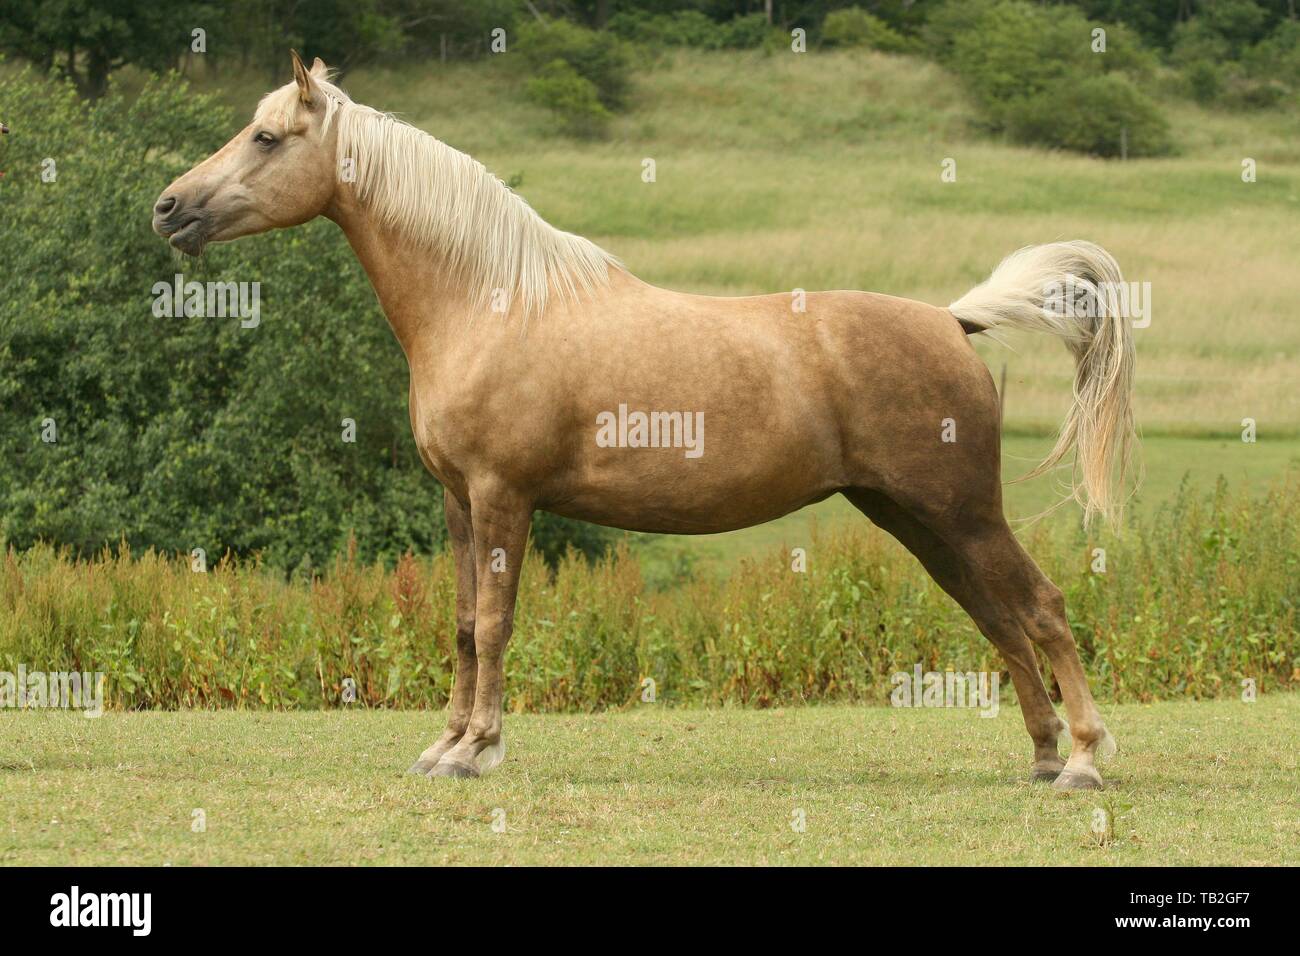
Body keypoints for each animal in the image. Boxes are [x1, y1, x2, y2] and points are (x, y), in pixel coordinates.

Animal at [153, 53, 1134, 790]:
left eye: (267, 136)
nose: (169, 207)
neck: (488, 300)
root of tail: (951, 320)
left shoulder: (504, 498)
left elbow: (497, 624)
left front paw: (477, 751)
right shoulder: (459, 502)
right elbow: (464, 623)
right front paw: (444, 744)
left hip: (963, 515)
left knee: (1042, 609)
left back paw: (1084, 762)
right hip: (917, 520)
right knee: (999, 621)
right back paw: (1044, 758)